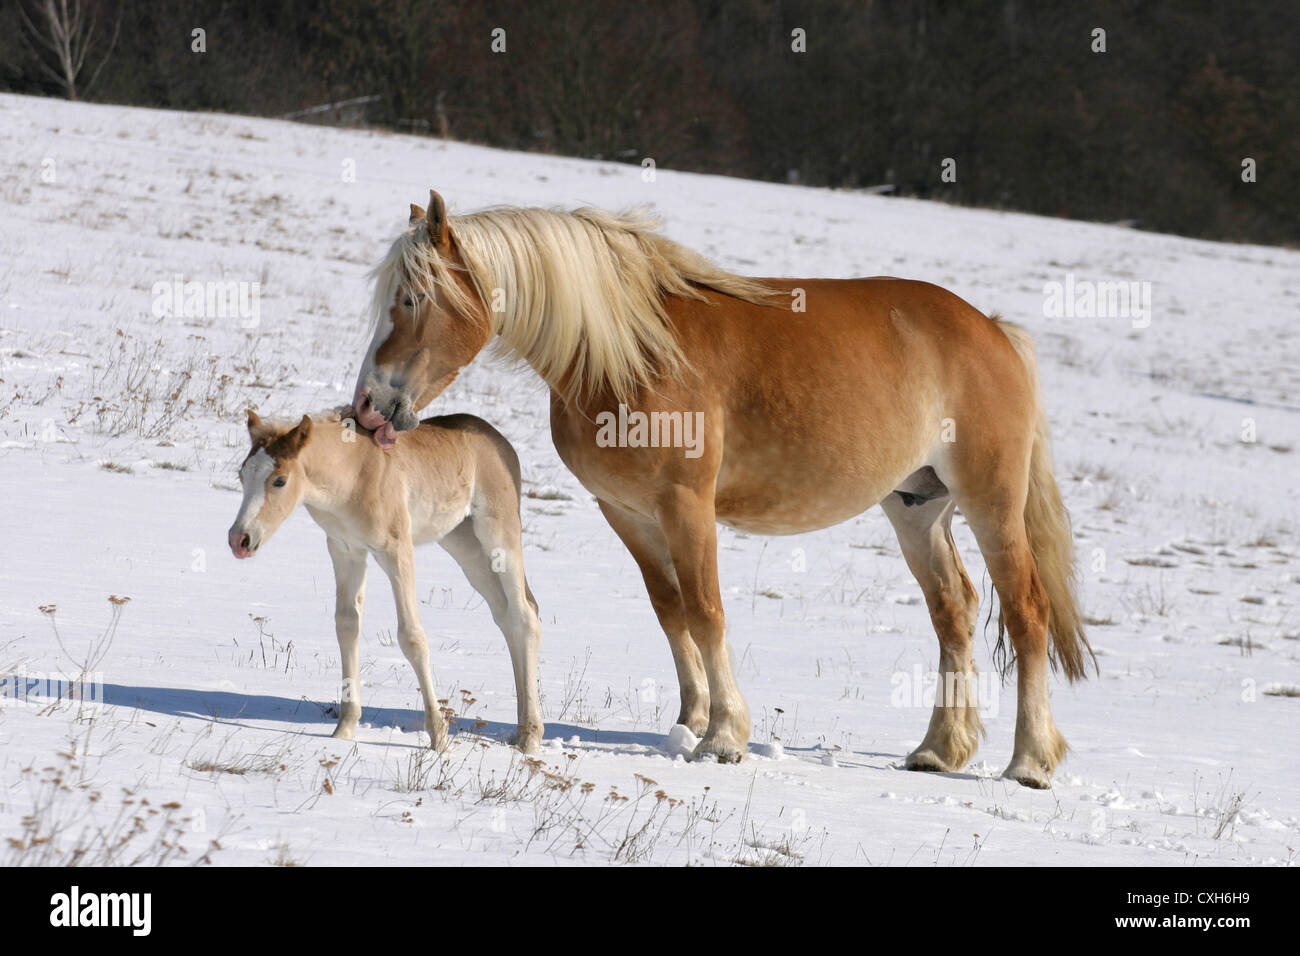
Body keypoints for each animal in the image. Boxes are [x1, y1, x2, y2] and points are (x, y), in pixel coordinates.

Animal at [227, 406, 544, 752]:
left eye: (280, 480)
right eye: (242, 475)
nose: (239, 540)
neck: (353, 475)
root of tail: (501, 442)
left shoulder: (396, 549)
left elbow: (411, 637)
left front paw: (439, 736)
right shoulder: (345, 549)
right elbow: (347, 626)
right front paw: (343, 730)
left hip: (498, 536)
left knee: (524, 615)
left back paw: (531, 737)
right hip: (465, 546)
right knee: (506, 616)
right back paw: (520, 730)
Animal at [351, 191, 1094, 787]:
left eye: (413, 299)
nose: (367, 407)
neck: (632, 354)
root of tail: (994, 331)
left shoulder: (687, 505)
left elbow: (707, 611)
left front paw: (725, 736)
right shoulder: (626, 513)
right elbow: (672, 610)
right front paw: (691, 721)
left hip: (991, 503)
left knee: (1026, 613)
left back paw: (1030, 761)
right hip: (918, 508)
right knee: (954, 611)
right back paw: (939, 749)